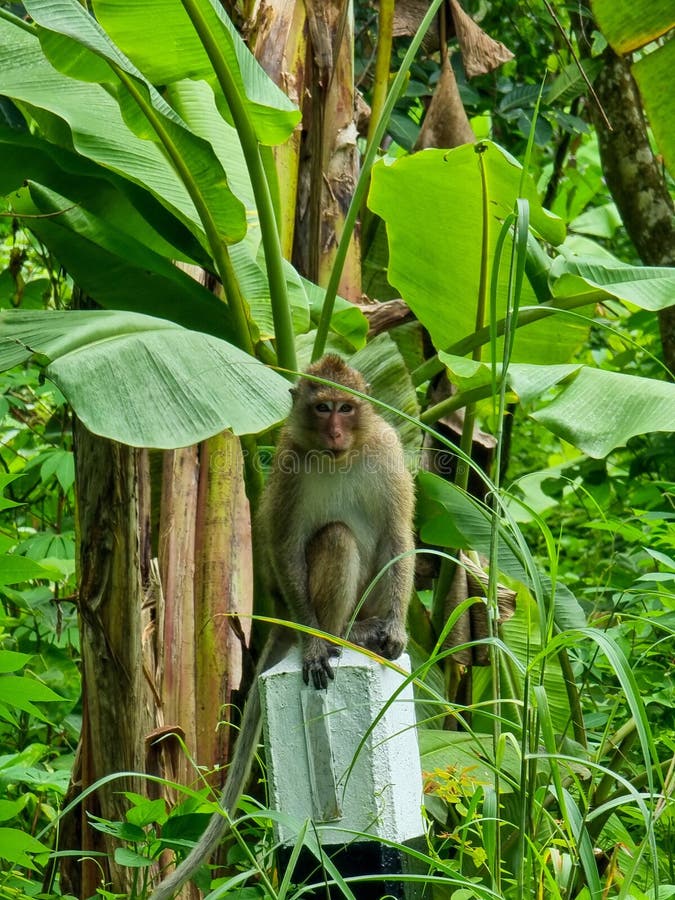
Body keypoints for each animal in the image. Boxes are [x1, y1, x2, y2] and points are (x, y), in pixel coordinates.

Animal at [149, 354, 415, 899]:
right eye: (322, 408)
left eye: (345, 407)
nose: (335, 431)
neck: (337, 457)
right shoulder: (289, 464)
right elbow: (285, 546)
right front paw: (314, 649)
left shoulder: (386, 449)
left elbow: (399, 535)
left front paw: (397, 630)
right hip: (301, 606)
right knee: (335, 538)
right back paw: (332, 637)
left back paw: (368, 632)